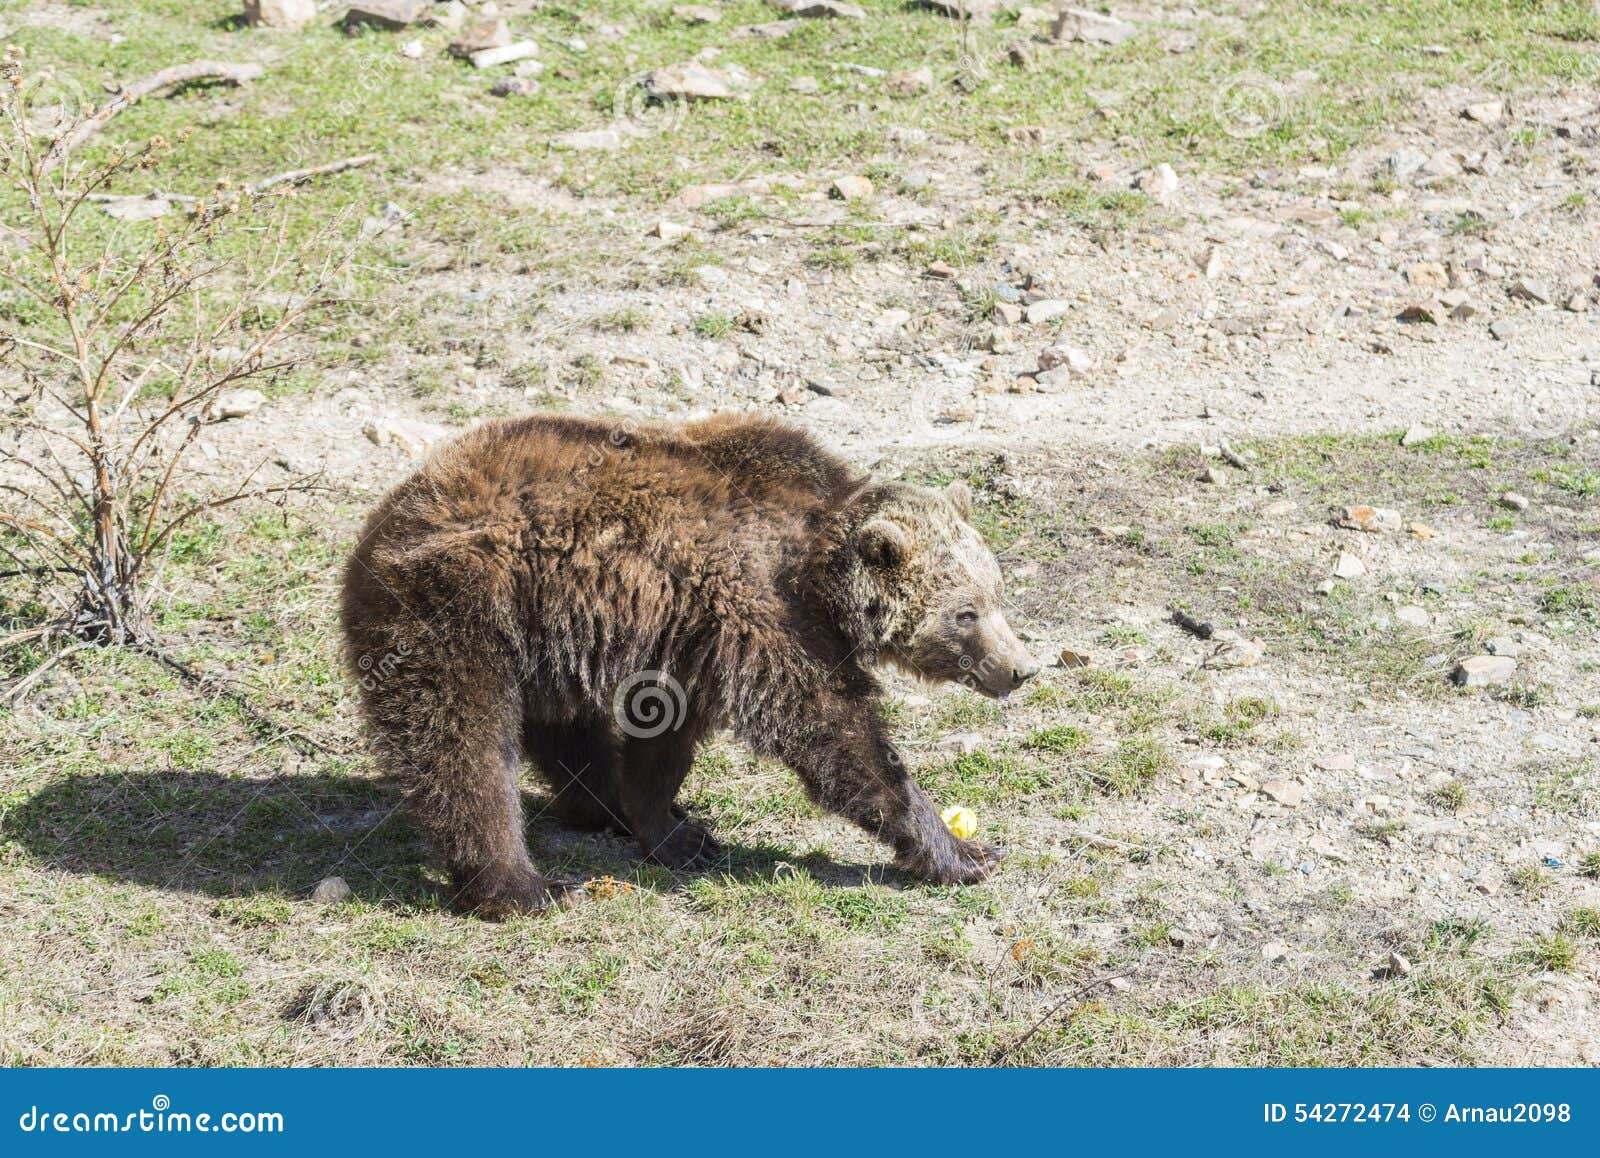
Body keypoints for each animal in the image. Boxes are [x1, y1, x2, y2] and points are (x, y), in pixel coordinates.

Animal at [340, 412, 1039, 919]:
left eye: (997, 592)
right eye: (966, 613)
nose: (1021, 668)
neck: (819, 571)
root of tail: (381, 522)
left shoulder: (695, 636)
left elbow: (663, 742)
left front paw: (675, 830)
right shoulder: (766, 613)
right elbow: (838, 736)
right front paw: (965, 851)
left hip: (544, 637)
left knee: (565, 730)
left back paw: (604, 808)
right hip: (454, 611)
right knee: (464, 749)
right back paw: (520, 886)